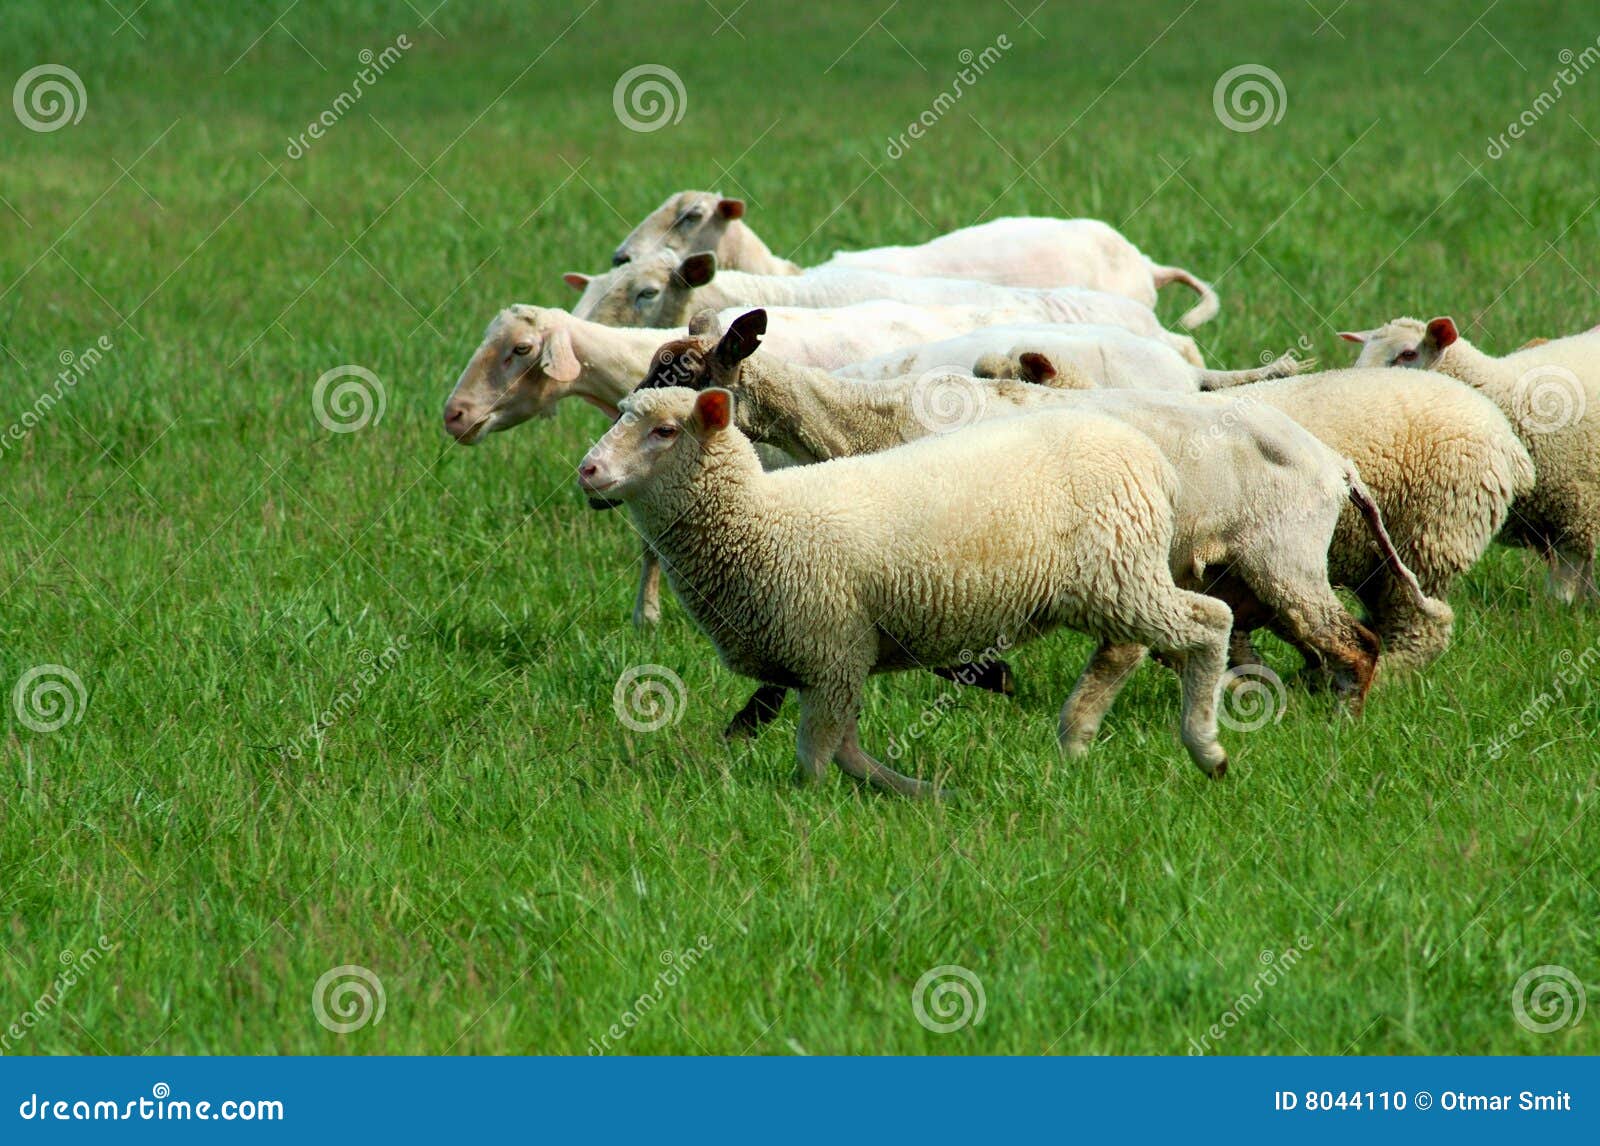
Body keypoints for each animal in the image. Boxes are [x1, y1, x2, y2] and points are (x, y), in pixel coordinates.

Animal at [578, 384, 1239, 793]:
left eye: (665, 431)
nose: (587, 470)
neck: (758, 520)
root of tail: (1153, 459)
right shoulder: (833, 660)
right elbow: (846, 749)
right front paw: (925, 793)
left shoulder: (832, 653)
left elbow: (817, 755)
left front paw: (806, 807)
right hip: (1111, 580)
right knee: (1122, 651)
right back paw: (1074, 741)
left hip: (1120, 571)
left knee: (1210, 621)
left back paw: (1206, 749)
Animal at [633, 310, 1449, 733]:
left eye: (682, 371)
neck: (871, 423)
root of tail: (1335, 465)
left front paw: (994, 679)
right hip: (1245, 570)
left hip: (1284, 556)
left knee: (1354, 643)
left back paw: (1343, 724)